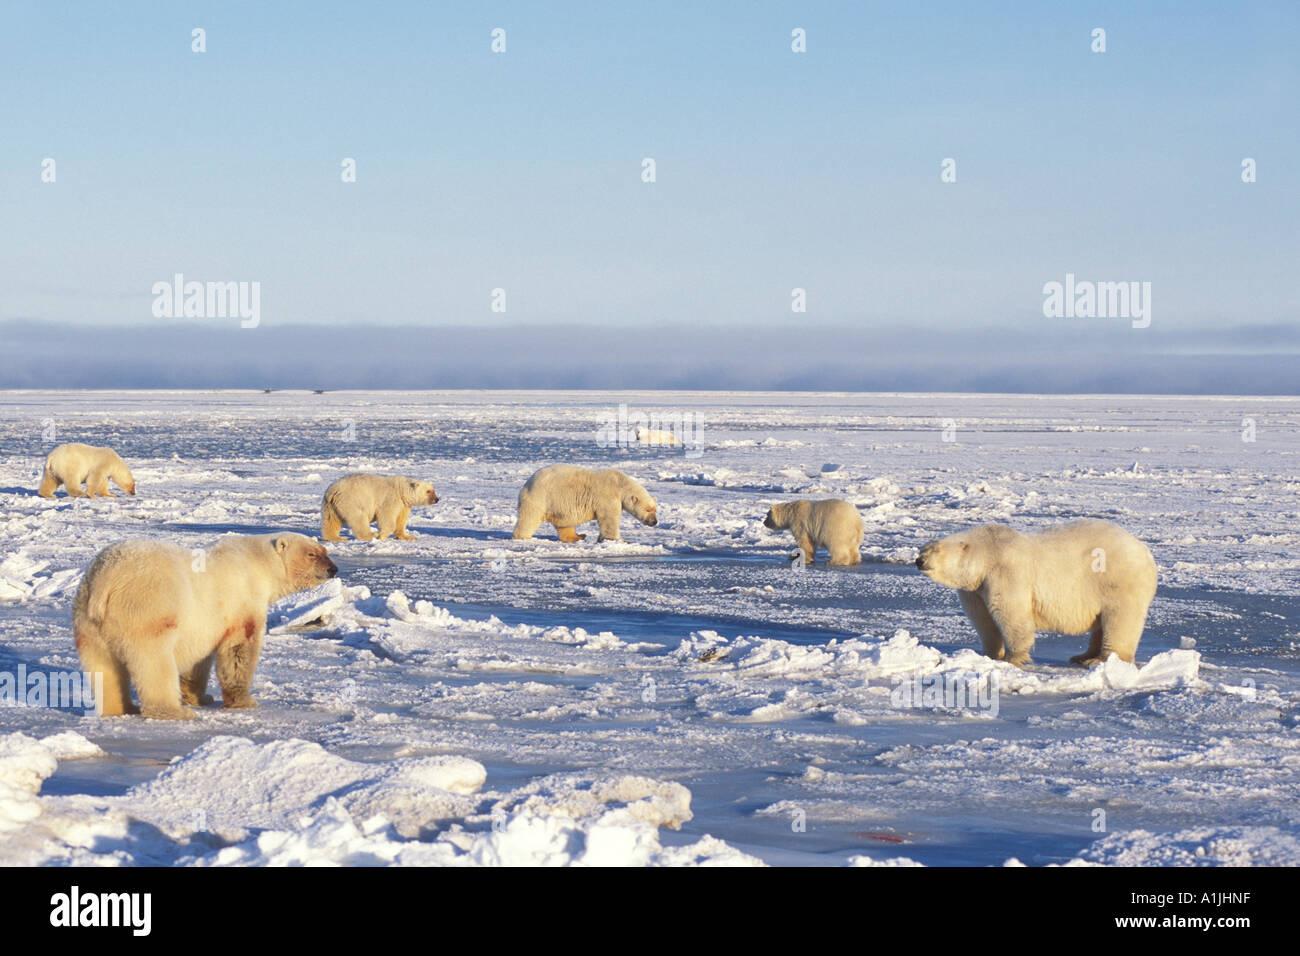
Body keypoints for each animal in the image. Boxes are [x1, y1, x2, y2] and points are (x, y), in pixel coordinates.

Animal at [72, 532, 337, 719]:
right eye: (312, 554)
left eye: (325, 550)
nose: (333, 569)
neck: (258, 565)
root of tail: (105, 581)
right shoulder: (241, 603)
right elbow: (239, 650)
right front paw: (244, 700)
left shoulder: (205, 622)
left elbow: (197, 659)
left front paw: (200, 696)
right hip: (148, 609)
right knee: (154, 662)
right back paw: (173, 711)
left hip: (88, 624)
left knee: (103, 668)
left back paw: (122, 707)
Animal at [512, 465, 658, 542]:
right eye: (648, 509)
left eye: (655, 509)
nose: (654, 522)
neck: (620, 484)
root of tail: (527, 483)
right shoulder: (607, 497)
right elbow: (609, 519)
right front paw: (621, 540)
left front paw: (601, 539)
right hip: (540, 497)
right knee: (530, 518)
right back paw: (522, 536)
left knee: (564, 524)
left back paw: (578, 536)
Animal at [915, 519, 1157, 667]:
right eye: (922, 548)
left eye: (934, 550)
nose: (919, 561)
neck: (988, 553)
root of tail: (1145, 551)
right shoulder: (975, 590)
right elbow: (983, 620)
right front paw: (987, 654)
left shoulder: (1007, 572)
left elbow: (1011, 615)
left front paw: (1011, 659)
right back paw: (1082, 656)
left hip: (1118, 580)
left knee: (1120, 619)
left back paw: (1101, 659)